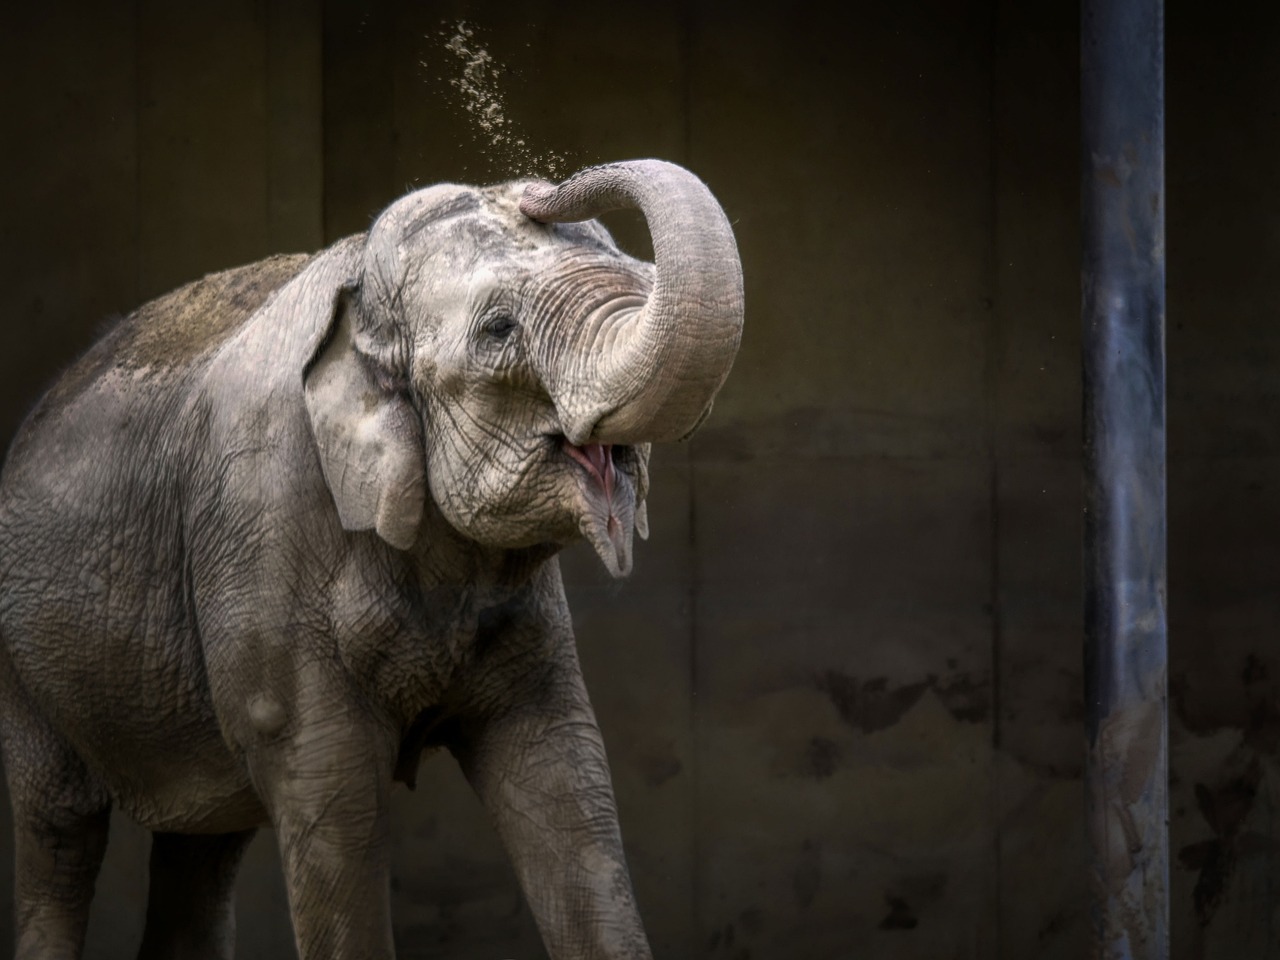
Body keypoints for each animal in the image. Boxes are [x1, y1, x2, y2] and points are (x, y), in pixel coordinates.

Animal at [0, 158, 743, 959]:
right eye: (499, 329)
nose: (536, 187)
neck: (358, 301)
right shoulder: (267, 530)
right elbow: (332, 796)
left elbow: (564, 778)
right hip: (25, 668)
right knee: (61, 827)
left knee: (202, 847)